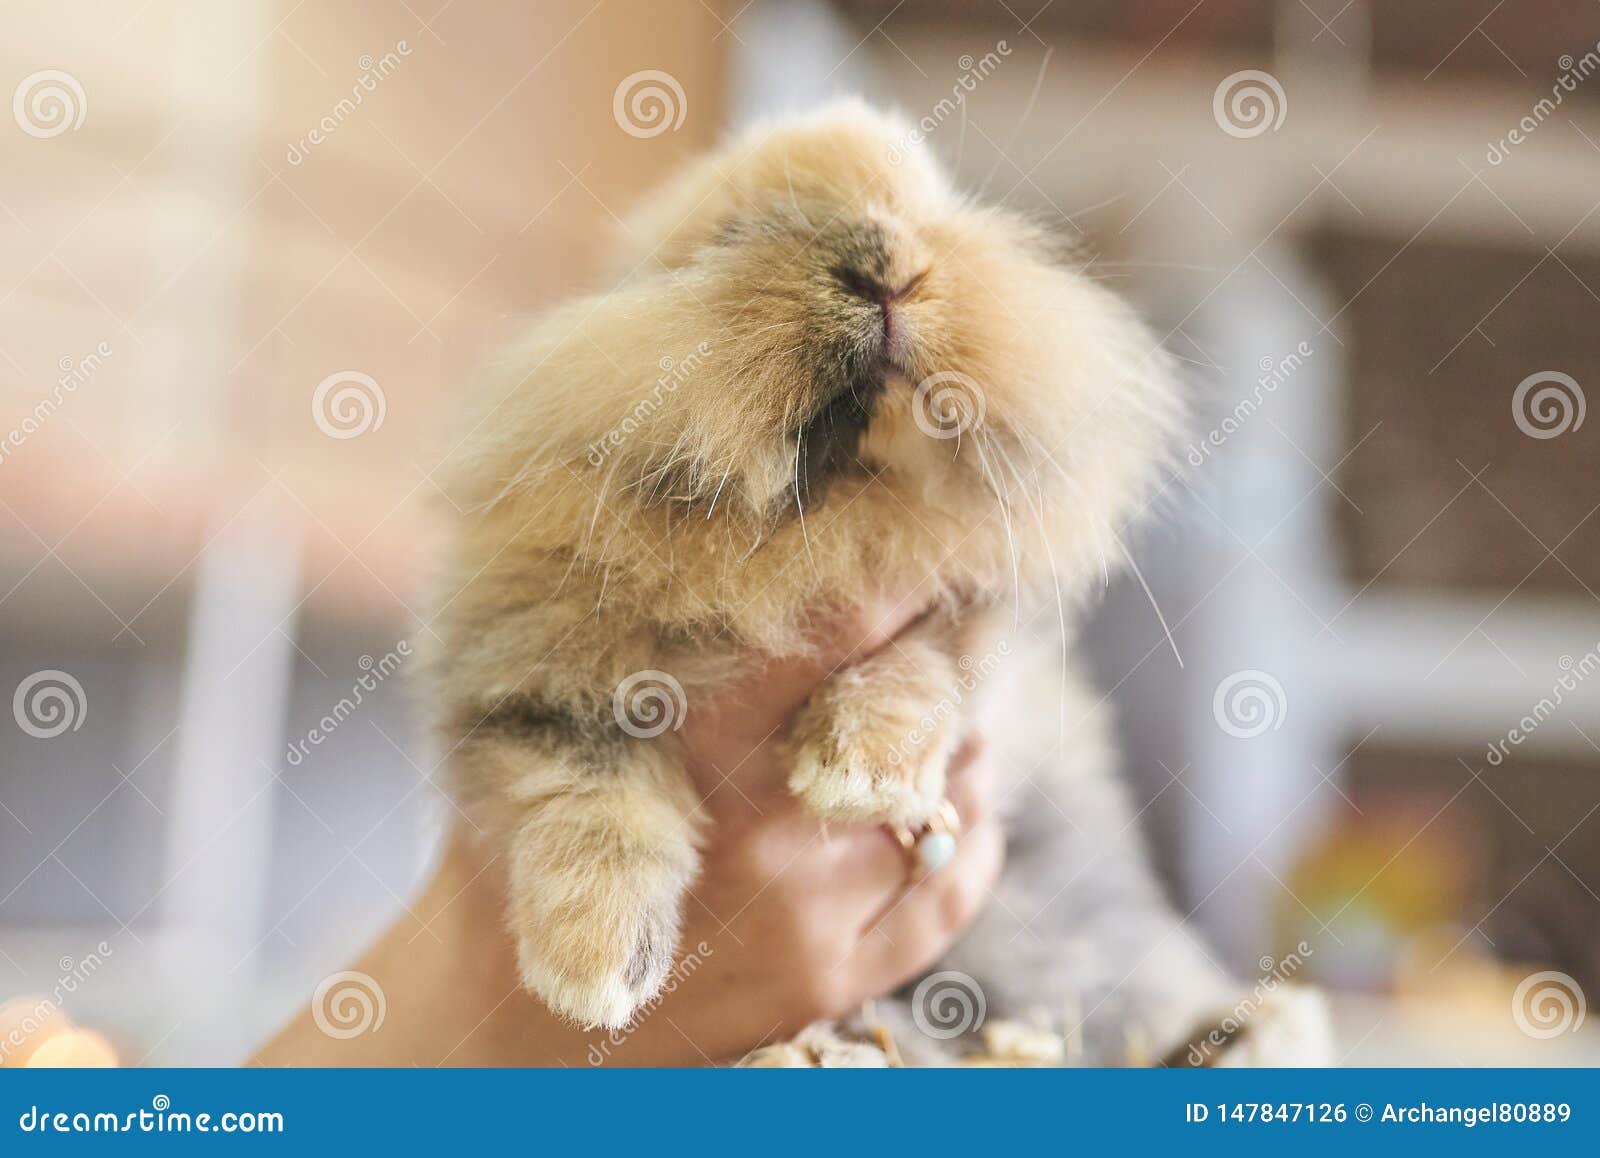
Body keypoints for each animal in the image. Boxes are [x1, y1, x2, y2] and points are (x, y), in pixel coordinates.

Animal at [424, 100, 1333, 1065]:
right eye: (734, 235)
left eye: (929, 211)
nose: (885, 268)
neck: (835, 511)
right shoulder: (530, 681)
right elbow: (590, 806)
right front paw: (590, 972)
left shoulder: (977, 624)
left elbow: (924, 665)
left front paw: (856, 772)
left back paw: (1254, 1026)